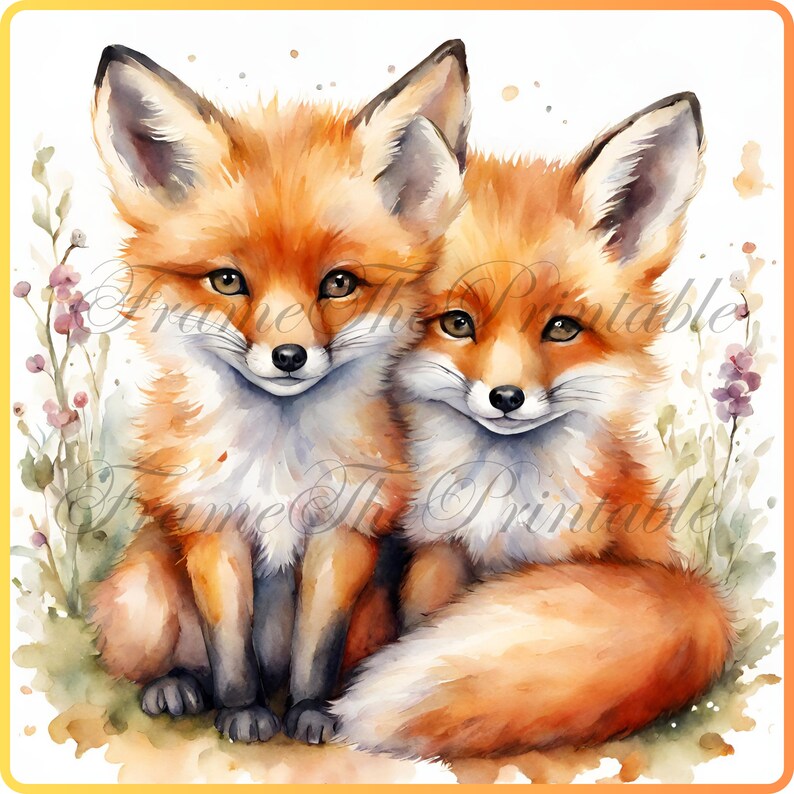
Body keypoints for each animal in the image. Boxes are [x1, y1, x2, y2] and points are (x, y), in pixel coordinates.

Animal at [87, 41, 470, 744]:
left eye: (340, 283)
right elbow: (230, 647)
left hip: (376, 623)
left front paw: (312, 712)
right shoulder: (214, 526)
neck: (278, 464)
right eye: (228, 280)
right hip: (143, 597)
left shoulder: (343, 528)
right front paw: (241, 712)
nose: (288, 357)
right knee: (164, 660)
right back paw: (175, 687)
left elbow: (316, 648)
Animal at [331, 93, 735, 758]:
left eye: (563, 328)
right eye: (458, 323)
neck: (500, 504)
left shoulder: (567, 554)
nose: (506, 397)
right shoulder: (438, 553)